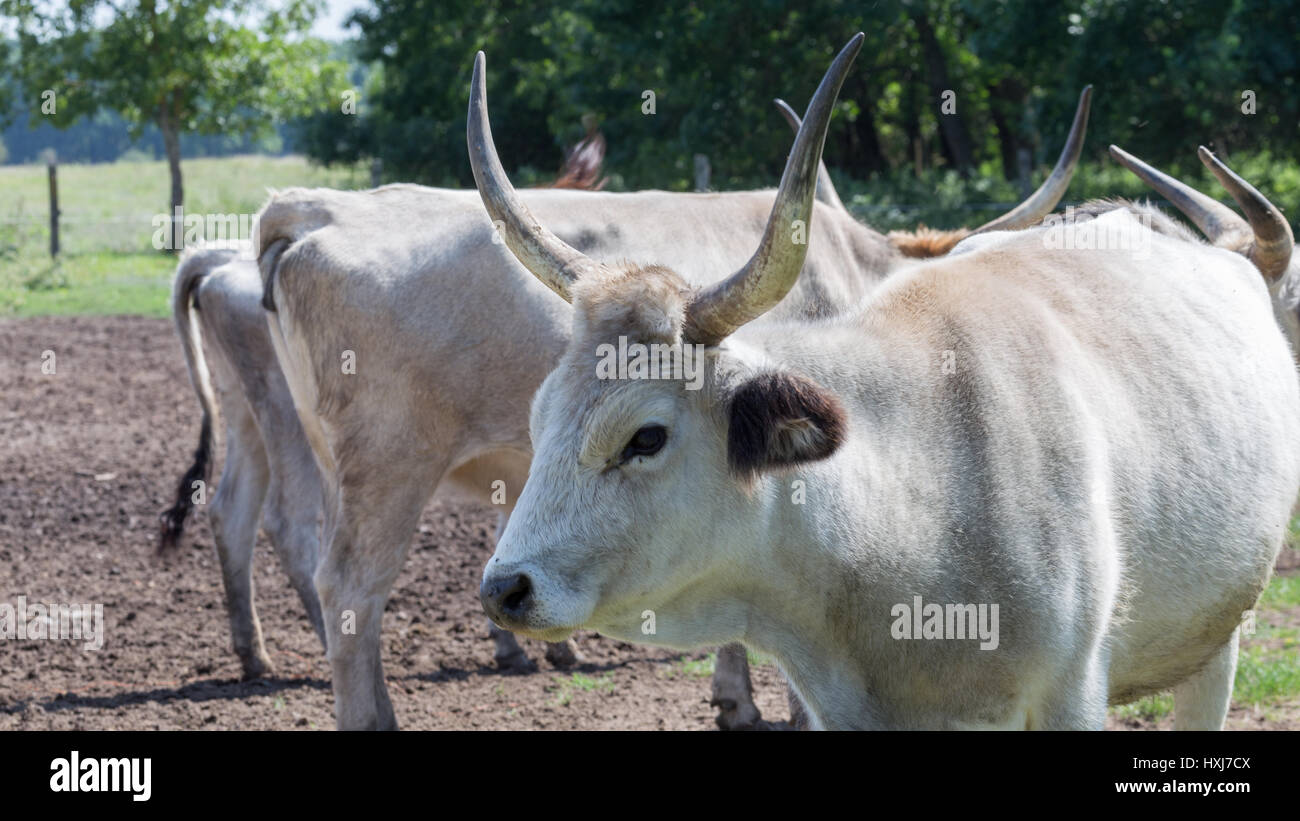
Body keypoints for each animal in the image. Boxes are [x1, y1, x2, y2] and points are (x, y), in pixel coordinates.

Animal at [165, 55, 1089, 730]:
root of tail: (303, 210)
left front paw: (732, 696)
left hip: (281, 427)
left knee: (248, 513)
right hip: (385, 463)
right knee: (345, 583)